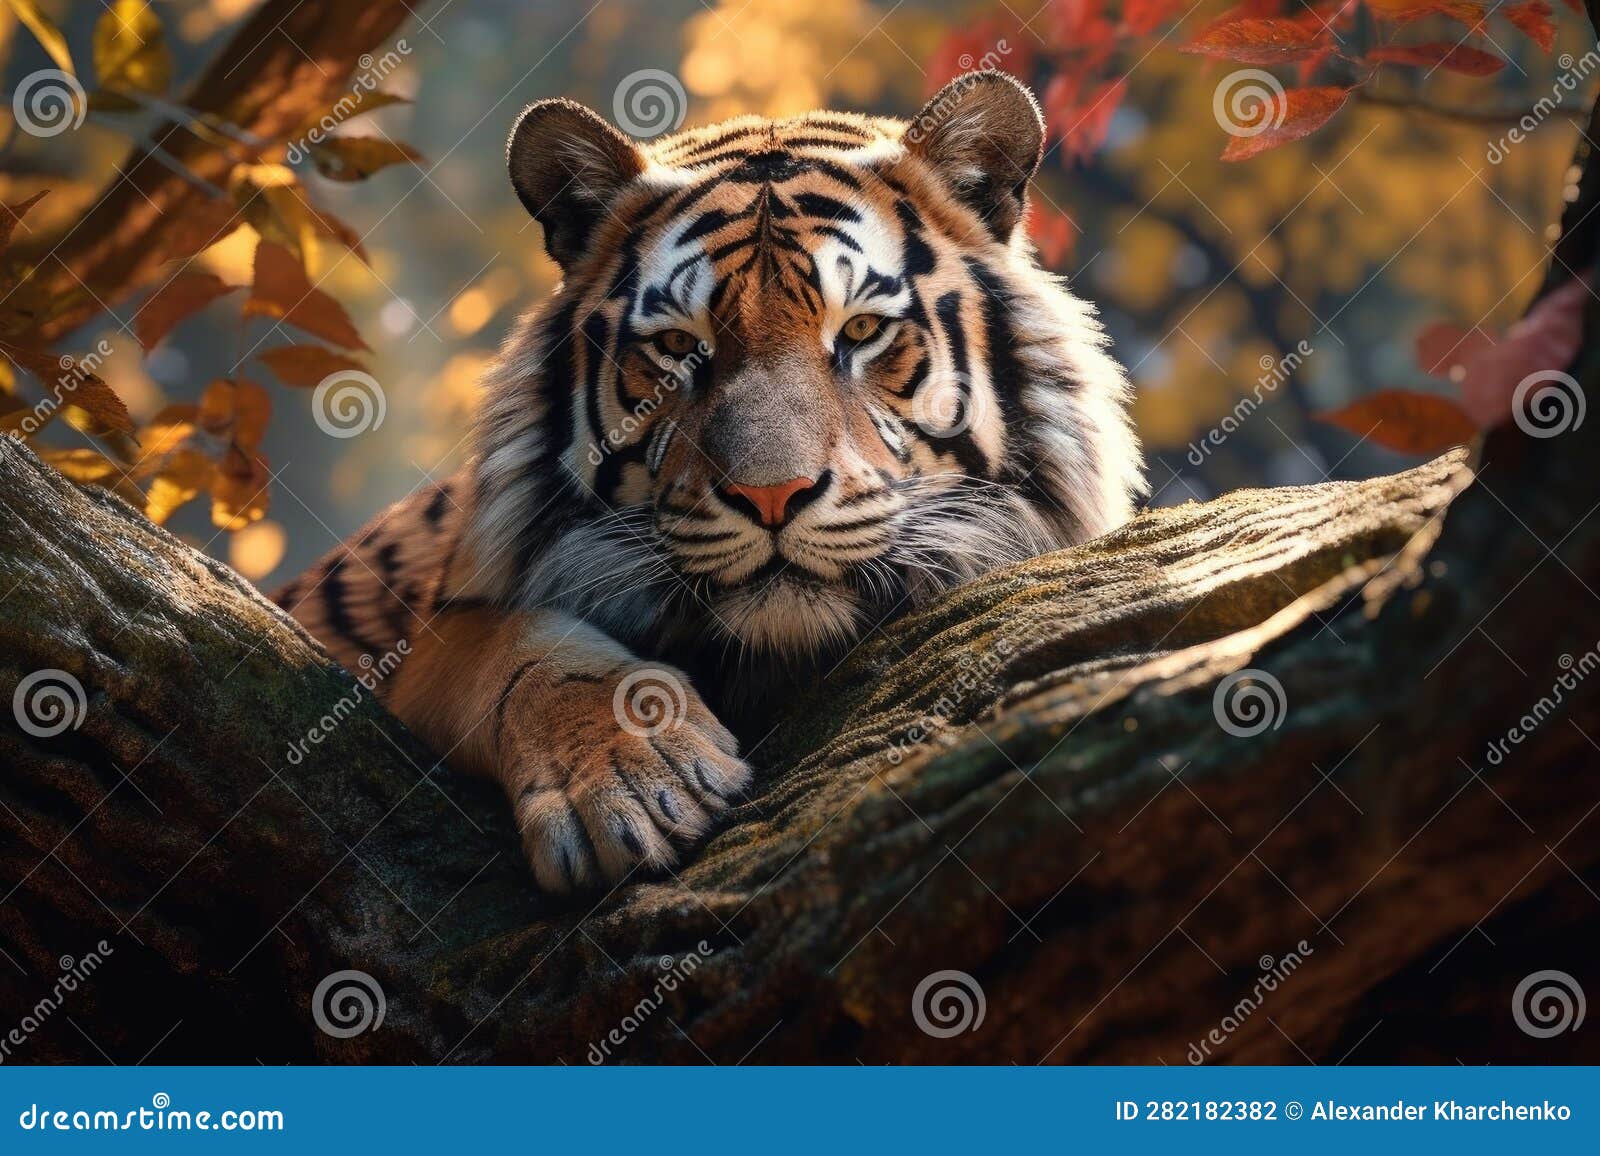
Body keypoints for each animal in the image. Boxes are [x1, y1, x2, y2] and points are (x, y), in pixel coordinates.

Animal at [274, 72, 1145, 894]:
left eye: (862, 330)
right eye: (677, 347)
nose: (771, 497)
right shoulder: (429, 643)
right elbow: (515, 650)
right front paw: (629, 789)